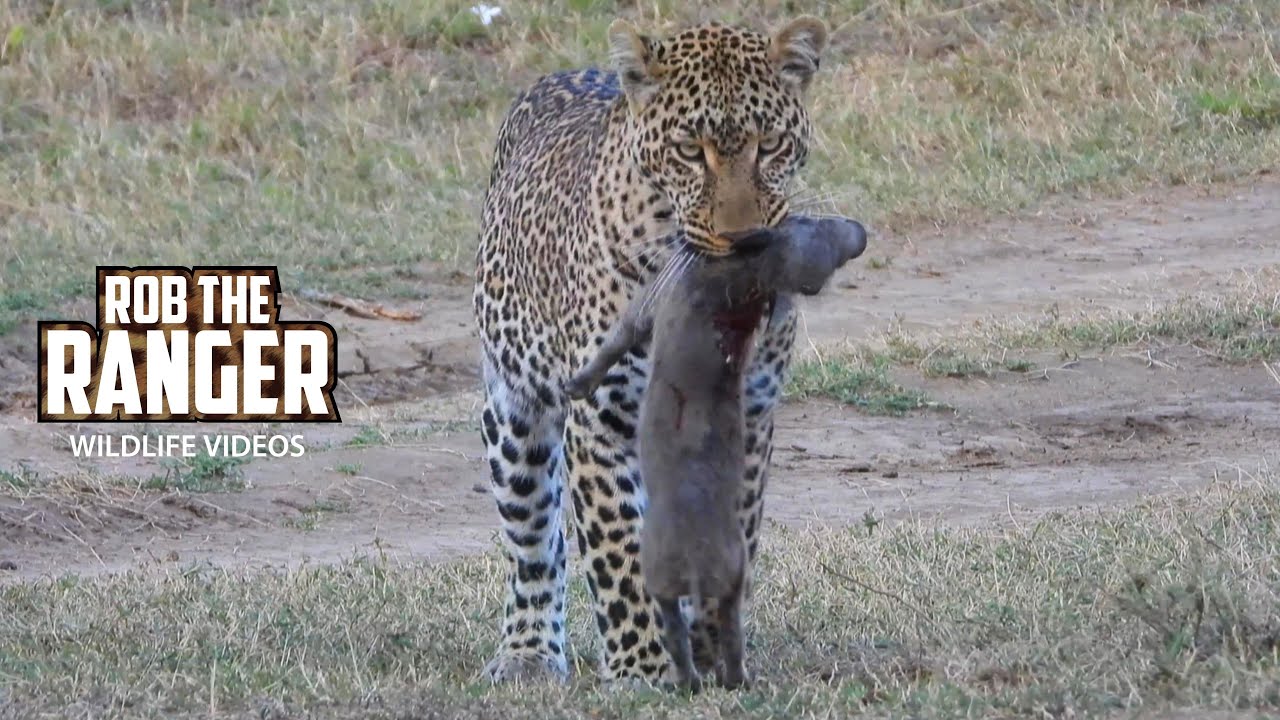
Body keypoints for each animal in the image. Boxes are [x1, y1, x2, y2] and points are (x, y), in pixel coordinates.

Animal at [472, 14, 829, 685]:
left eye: (769, 145)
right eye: (690, 151)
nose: (746, 239)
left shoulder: (747, 415)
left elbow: (729, 533)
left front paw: (711, 650)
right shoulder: (600, 419)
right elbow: (620, 552)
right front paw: (642, 667)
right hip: (514, 416)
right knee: (534, 543)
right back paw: (529, 653)